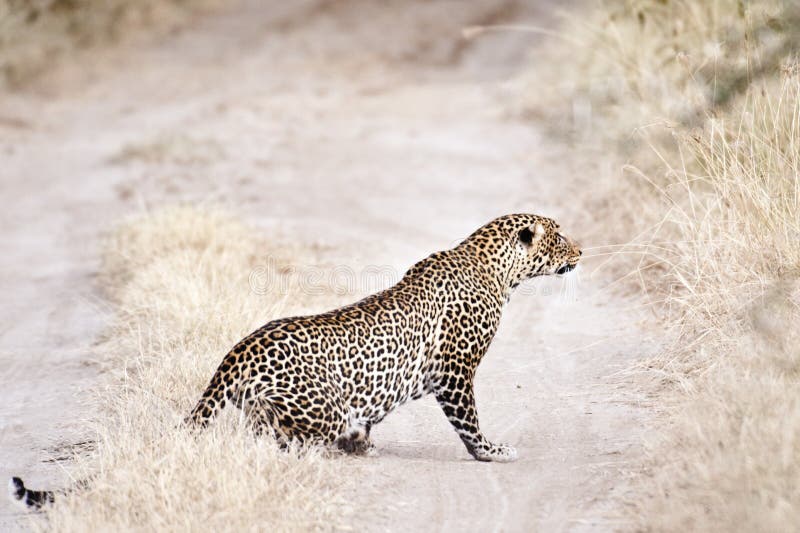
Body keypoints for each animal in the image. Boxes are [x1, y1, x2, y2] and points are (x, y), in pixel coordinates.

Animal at [10, 213, 580, 508]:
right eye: (560, 237)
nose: (581, 251)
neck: (499, 270)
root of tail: (236, 351)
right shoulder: (457, 372)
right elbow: (470, 422)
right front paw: (493, 452)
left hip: (262, 408)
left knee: (260, 440)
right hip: (319, 406)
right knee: (293, 443)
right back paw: (342, 448)